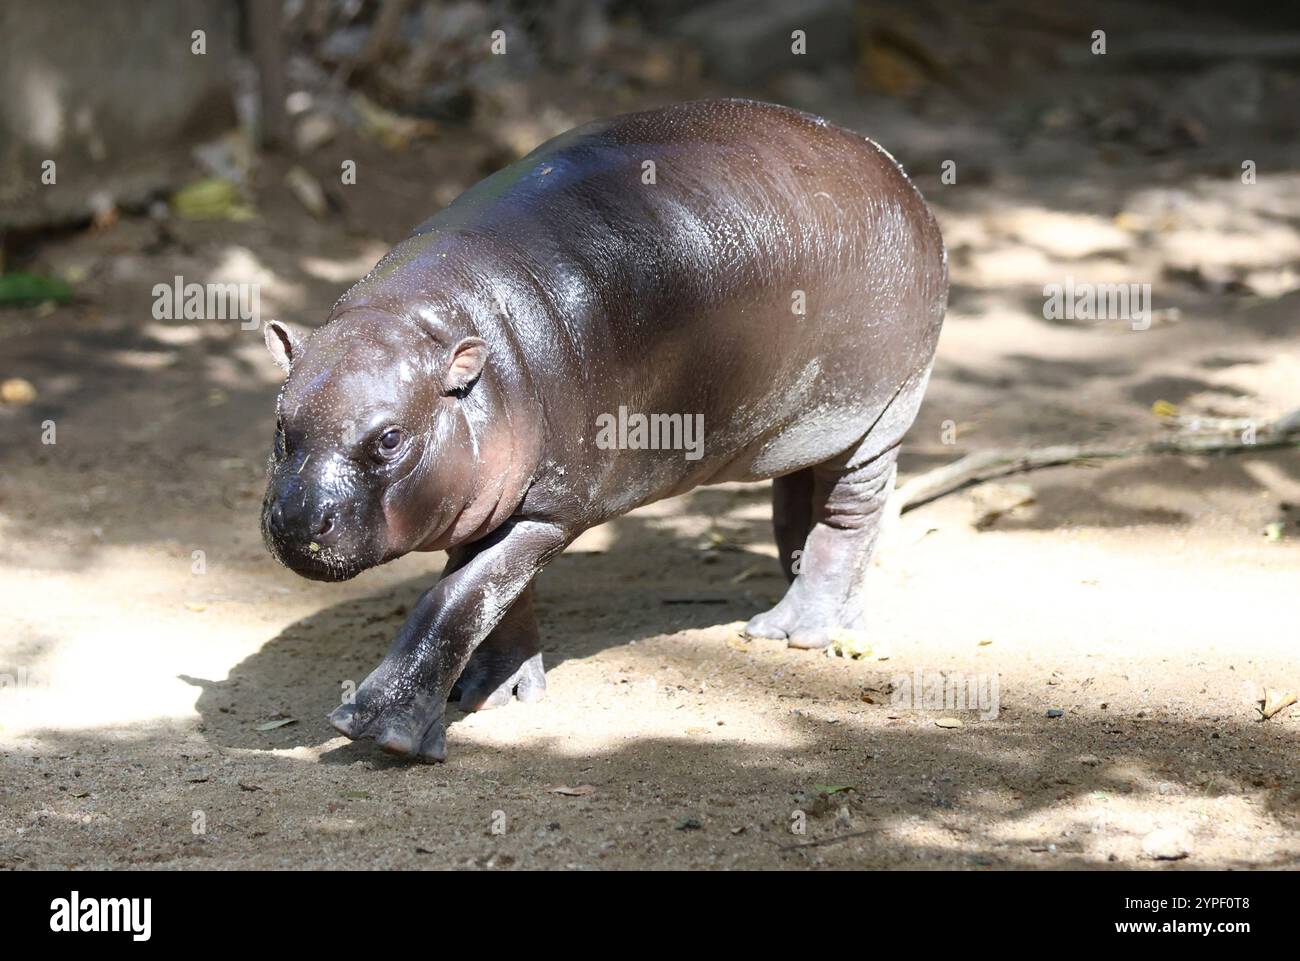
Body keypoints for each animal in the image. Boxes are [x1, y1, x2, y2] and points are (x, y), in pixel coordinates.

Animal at [260, 98, 947, 762]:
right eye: (280, 423)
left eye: (390, 439)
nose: (295, 521)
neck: (438, 329)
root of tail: (895, 170)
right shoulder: (489, 496)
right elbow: (494, 595)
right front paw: (497, 694)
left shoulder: (551, 511)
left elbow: (459, 596)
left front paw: (382, 731)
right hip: (803, 424)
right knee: (801, 500)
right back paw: (828, 619)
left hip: (883, 413)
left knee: (849, 515)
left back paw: (794, 632)